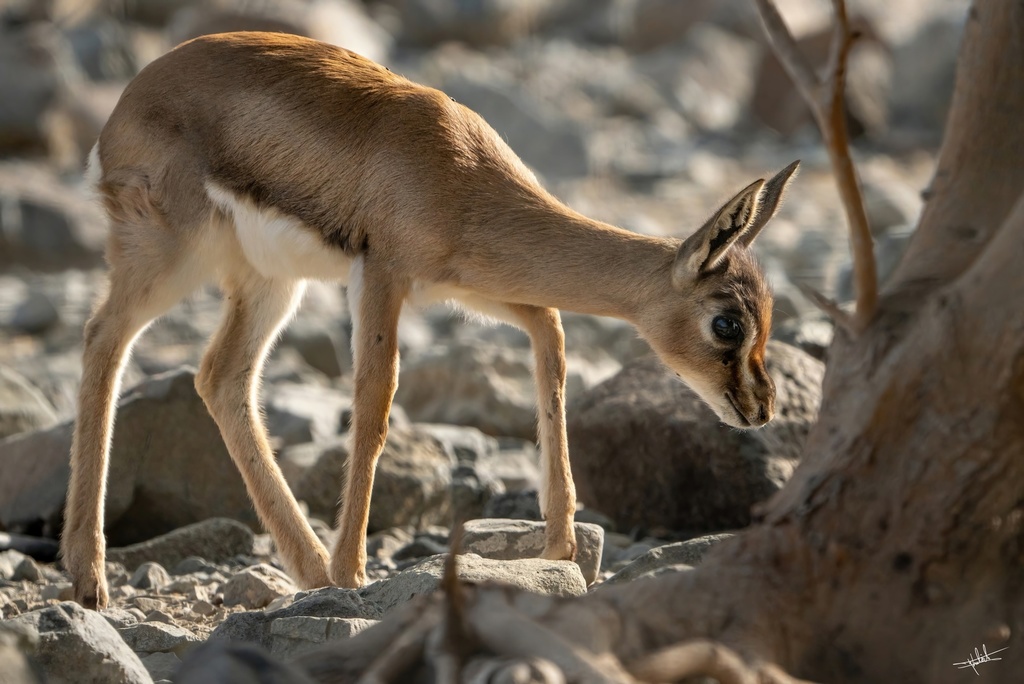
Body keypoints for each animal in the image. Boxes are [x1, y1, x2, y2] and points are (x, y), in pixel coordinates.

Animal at [62, 31, 797, 609]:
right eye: (728, 324)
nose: (761, 410)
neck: (458, 171)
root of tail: (128, 101)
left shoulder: (469, 285)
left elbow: (552, 334)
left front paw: (560, 547)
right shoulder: (383, 275)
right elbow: (373, 407)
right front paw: (353, 573)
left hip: (271, 284)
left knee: (221, 378)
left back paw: (305, 568)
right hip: (170, 256)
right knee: (103, 341)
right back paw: (91, 577)